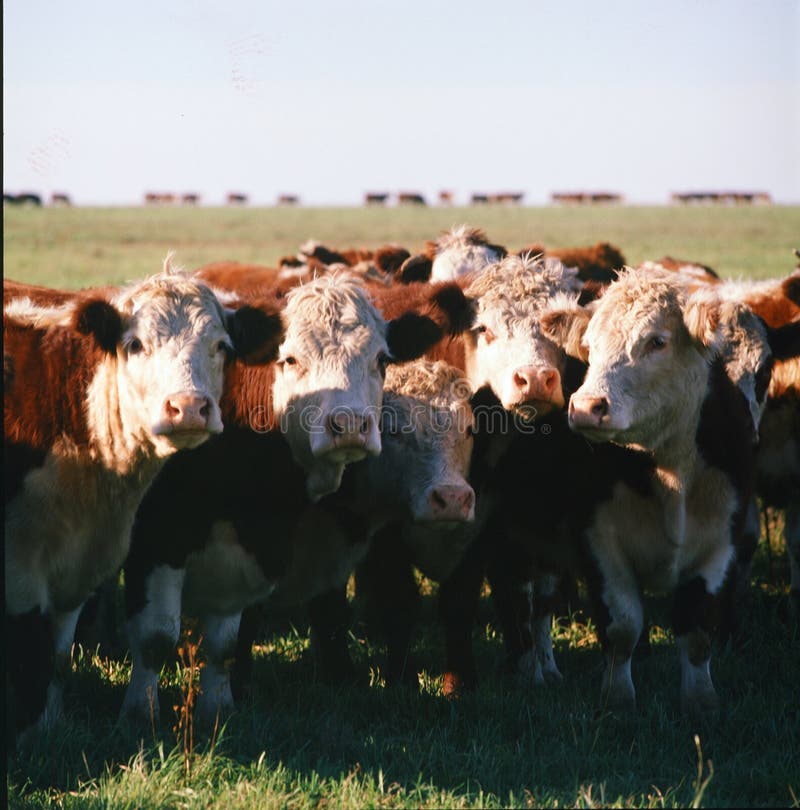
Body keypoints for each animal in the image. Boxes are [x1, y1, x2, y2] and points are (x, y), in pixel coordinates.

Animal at [4, 263, 284, 740]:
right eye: (135, 344)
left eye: (221, 346)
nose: (188, 407)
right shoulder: (22, 567)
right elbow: (30, 658)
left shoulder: (75, 568)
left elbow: (56, 657)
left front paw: (49, 726)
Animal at [118, 274, 474, 724]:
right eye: (289, 360)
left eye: (381, 359)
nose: (350, 425)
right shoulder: (158, 541)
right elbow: (156, 635)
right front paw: (140, 713)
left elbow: (229, 639)